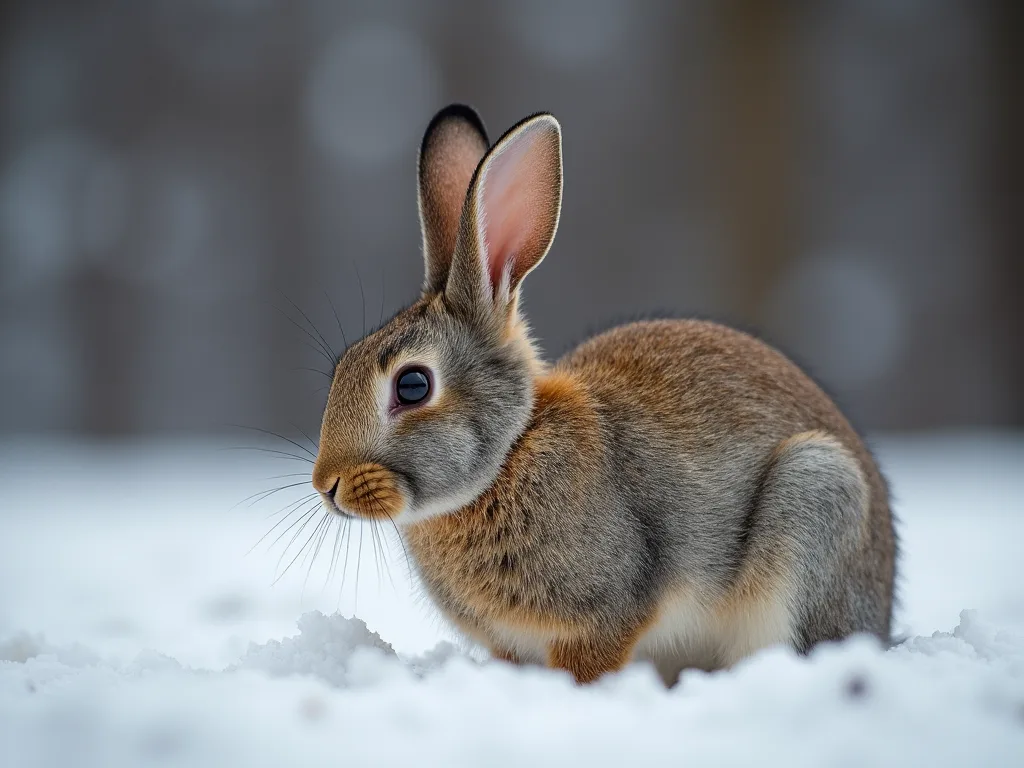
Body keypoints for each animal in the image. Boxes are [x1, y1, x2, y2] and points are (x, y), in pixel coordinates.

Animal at [311, 104, 897, 686]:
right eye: (342, 367)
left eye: (412, 385)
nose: (327, 484)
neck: (509, 456)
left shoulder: (605, 617)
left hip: (815, 494)